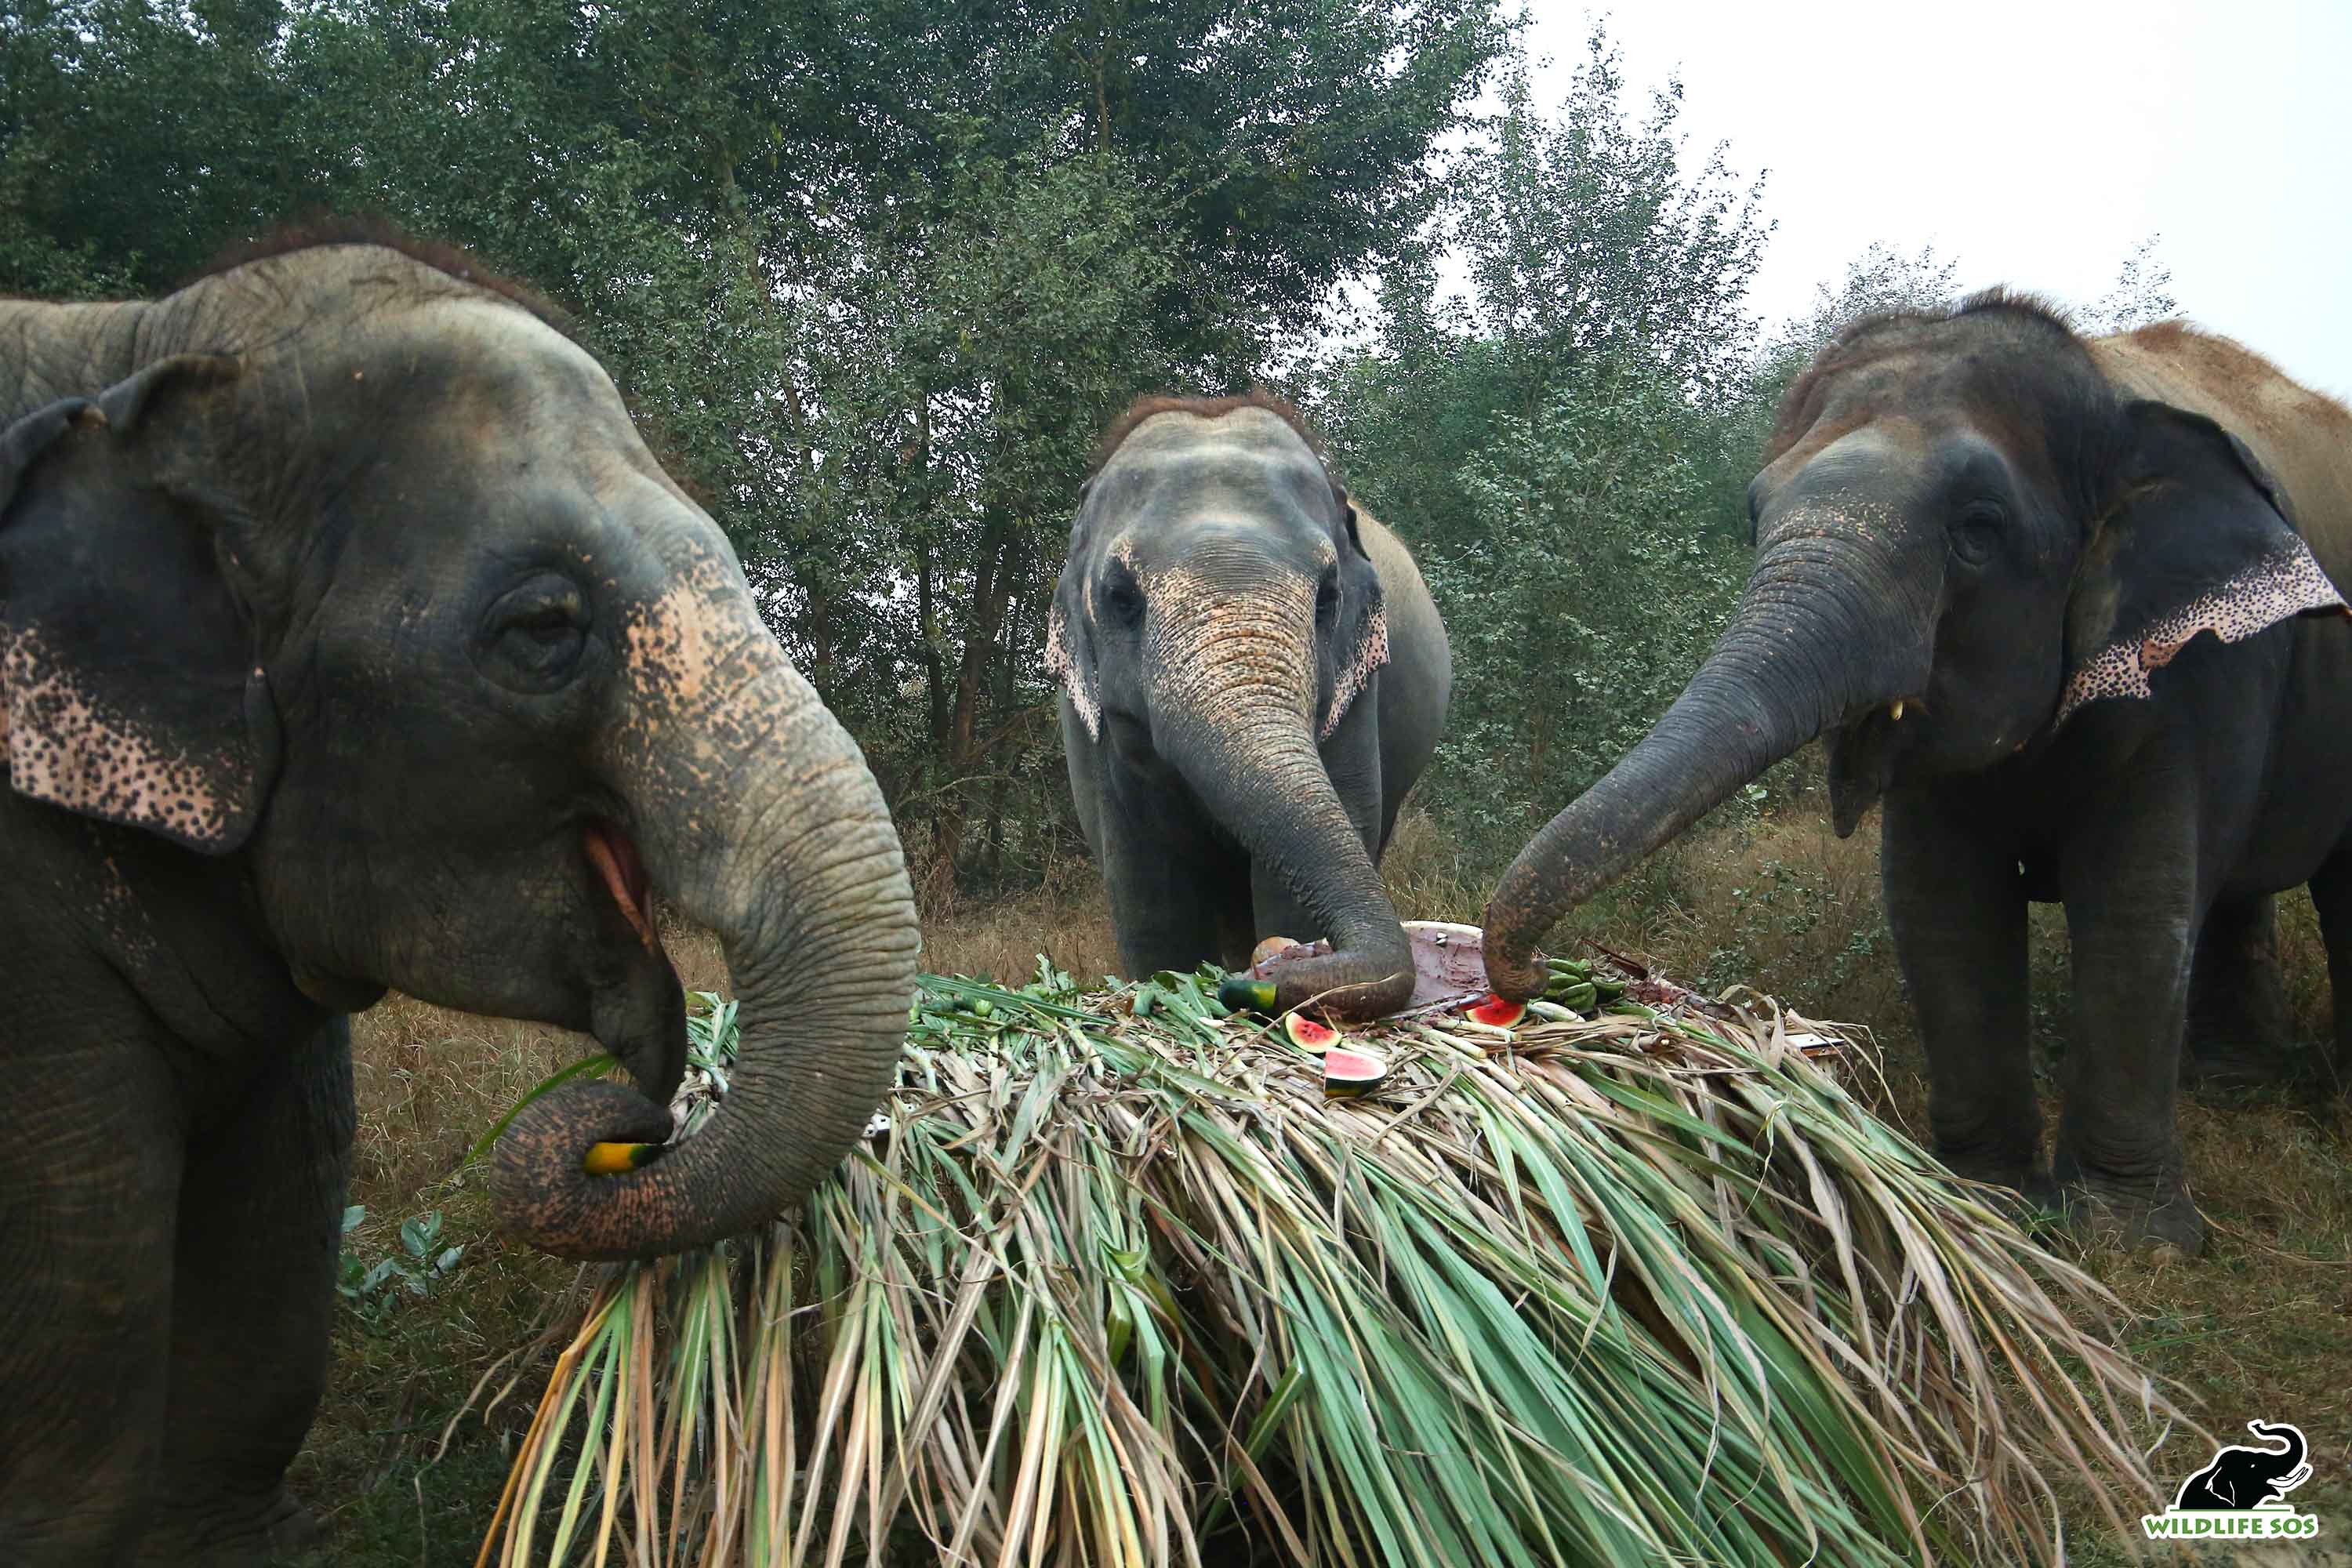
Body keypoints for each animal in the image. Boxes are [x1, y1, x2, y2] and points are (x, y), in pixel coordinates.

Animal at [1051, 392, 1450, 1017]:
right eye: (1119, 597)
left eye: (1329, 597)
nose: (1259, 978)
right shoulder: (1088, 722)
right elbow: (1148, 891)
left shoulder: (1357, 695)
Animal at [1480, 292, 2352, 1255]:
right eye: (1754, 514)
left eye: (1978, 531)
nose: (1534, 977)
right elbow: (1941, 902)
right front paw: (1988, 1198)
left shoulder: (2196, 666)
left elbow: (2136, 898)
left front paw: (2129, 1243)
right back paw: (2232, 1080)